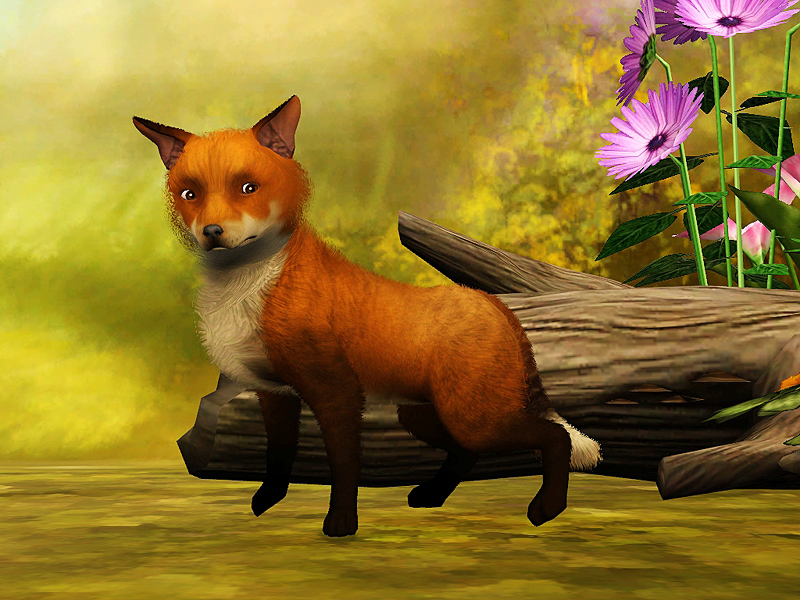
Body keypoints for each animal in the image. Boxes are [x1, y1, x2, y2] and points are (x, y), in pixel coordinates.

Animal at [133, 95, 601, 537]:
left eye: (248, 187)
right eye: (190, 195)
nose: (211, 233)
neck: (246, 288)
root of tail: (492, 303)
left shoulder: (335, 391)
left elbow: (344, 467)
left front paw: (341, 524)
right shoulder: (276, 392)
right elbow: (279, 454)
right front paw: (268, 500)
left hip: (472, 417)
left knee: (554, 437)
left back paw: (547, 509)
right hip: (425, 415)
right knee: (466, 452)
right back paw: (433, 496)